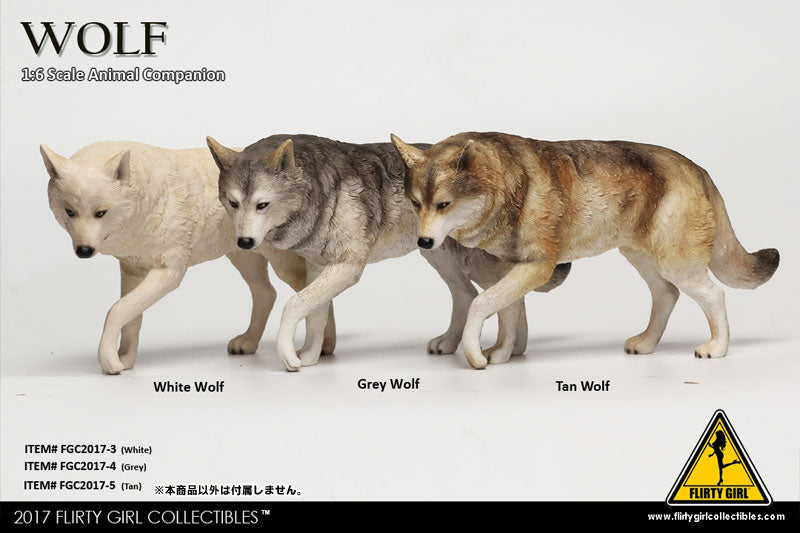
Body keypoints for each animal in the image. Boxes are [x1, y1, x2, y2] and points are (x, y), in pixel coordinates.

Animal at [41, 141, 335, 374]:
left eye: (100, 213)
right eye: (70, 212)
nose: (84, 251)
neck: (146, 202)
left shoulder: (168, 273)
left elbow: (116, 311)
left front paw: (109, 361)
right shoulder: (132, 270)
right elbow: (131, 319)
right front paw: (125, 359)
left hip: (285, 266)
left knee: (313, 294)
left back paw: (323, 347)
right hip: (243, 258)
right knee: (266, 293)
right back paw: (250, 342)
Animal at [206, 134, 571, 371]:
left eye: (262, 205)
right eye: (233, 203)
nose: (244, 243)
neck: (318, 191)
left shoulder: (348, 267)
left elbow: (294, 305)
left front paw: (289, 357)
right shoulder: (318, 267)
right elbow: (316, 316)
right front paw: (309, 356)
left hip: (470, 262)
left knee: (506, 298)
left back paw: (504, 353)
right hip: (436, 256)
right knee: (469, 296)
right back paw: (478, 346)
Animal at [391, 132, 780, 369]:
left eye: (443, 204)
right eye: (416, 204)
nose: (423, 243)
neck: (511, 185)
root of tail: (696, 167)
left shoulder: (537, 267)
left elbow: (480, 304)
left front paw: (476, 355)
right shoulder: (509, 268)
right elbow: (508, 313)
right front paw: (501, 354)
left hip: (677, 263)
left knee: (714, 294)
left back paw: (718, 347)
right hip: (641, 258)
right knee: (667, 295)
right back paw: (646, 344)